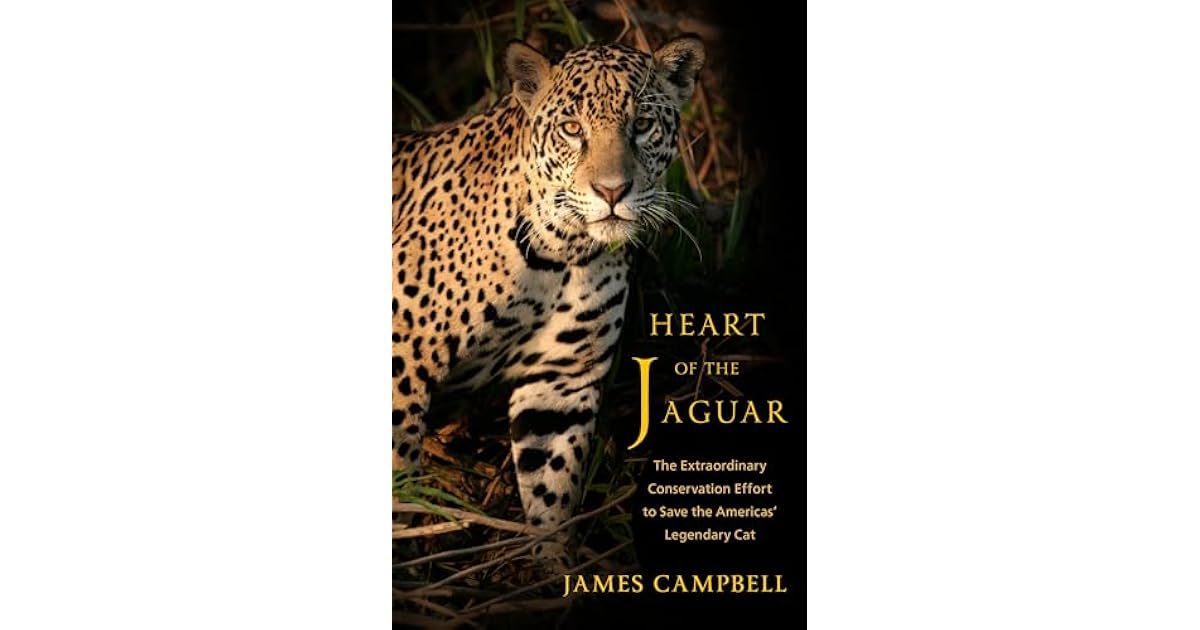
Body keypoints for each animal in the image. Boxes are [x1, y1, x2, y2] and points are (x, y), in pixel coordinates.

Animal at [392, 37, 705, 561]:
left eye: (641, 125)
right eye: (572, 129)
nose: (612, 191)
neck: (561, 253)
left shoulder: (561, 382)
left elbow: (553, 486)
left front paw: (553, 567)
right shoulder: (402, 362)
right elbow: (397, 473)